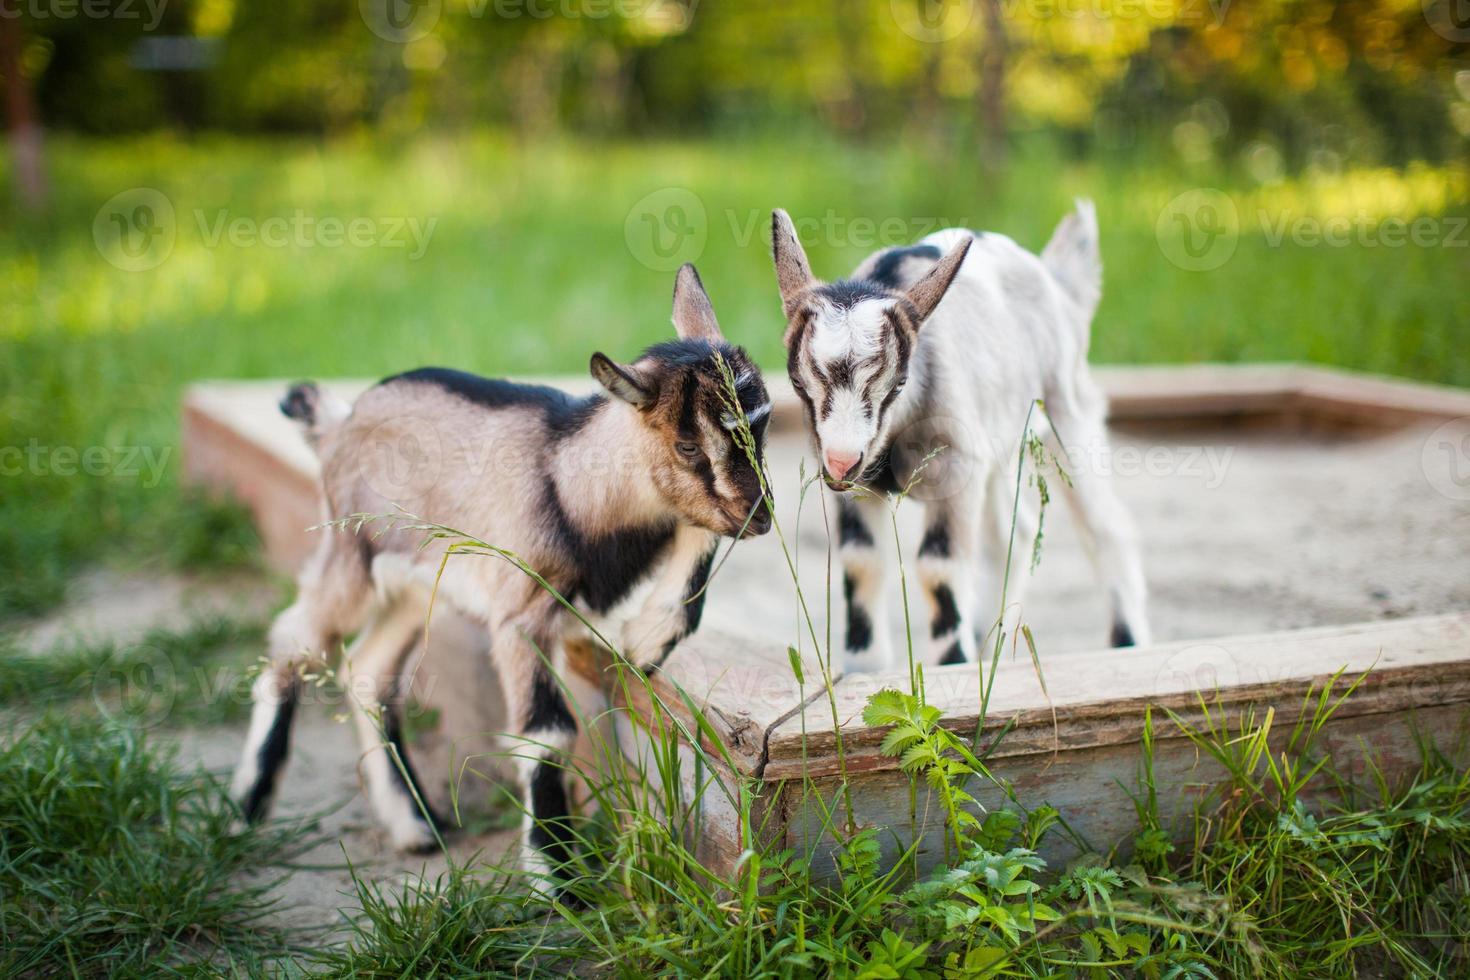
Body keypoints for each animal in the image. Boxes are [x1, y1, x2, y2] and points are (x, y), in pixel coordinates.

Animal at [231, 263, 772, 884]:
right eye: (687, 445)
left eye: (763, 425)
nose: (759, 517)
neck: (567, 480)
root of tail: (337, 423)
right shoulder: (521, 613)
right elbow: (546, 731)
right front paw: (557, 879)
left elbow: (697, 537)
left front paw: (649, 638)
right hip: (353, 557)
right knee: (296, 638)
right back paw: (248, 807)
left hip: (415, 588)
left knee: (368, 670)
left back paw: (414, 825)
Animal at [768, 201, 1150, 672]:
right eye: (797, 383)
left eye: (899, 384)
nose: (842, 459)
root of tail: (1060, 285)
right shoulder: (858, 487)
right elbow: (862, 563)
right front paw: (865, 668)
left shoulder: (954, 468)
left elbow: (940, 569)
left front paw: (950, 661)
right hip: (998, 445)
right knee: (1012, 535)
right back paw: (989, 646)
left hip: (1068, 412)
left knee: (1106, 528)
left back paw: (1128, 643)